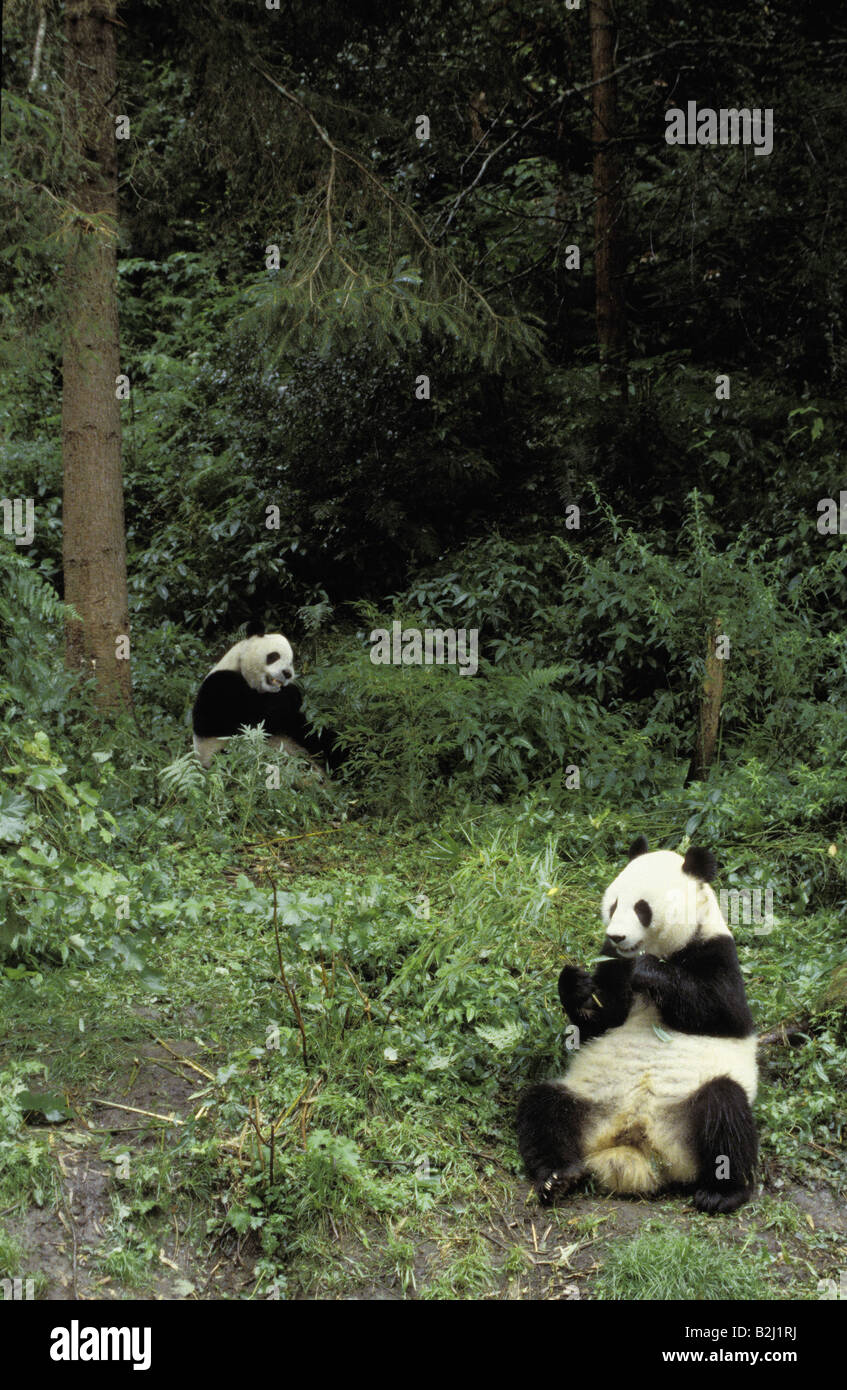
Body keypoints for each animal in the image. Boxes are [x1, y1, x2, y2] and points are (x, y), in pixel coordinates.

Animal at [191, 622, 341, 773]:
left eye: (291, 662)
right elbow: (252, 721)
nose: (287, 673)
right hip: (230, 754)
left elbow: (305, 727)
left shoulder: (292, 722)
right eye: (274, 656)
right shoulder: (220, 686)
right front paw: (292, 694)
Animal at [517, 837, 758, 1214]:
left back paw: (722, 1192)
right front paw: (576, 984)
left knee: (725, 1109)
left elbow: (722, 1010)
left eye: (642, 908)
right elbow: (598, 1022)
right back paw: (559, 1177)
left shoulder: (716, 950)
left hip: (686, 1119)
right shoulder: (611, 962)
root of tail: (636, 1144)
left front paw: (649, 971)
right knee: (542, 1106)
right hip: (592, 1106)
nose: (617, 936)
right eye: (614, 904)